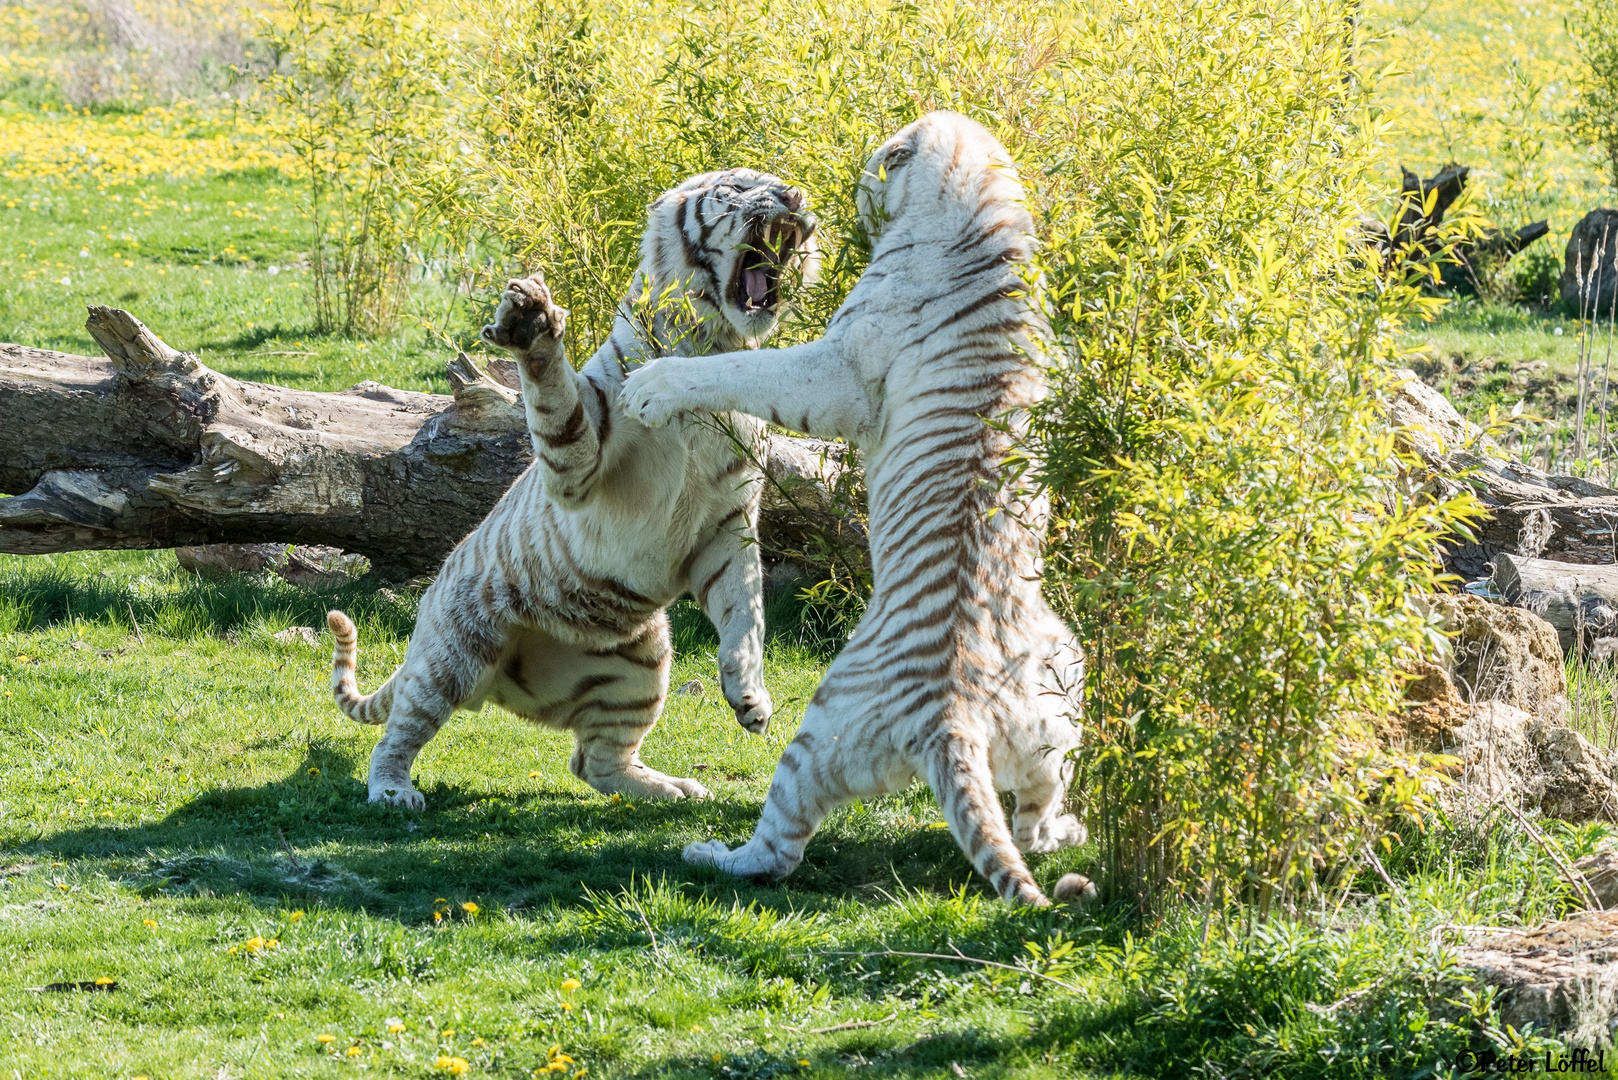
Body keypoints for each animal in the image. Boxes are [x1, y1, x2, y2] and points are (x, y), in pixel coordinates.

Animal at [325, 169, 821, 806]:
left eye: (783, 184)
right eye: (738, 187)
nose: (795, 197)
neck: (712, 347)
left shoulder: (728, 521)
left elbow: (746, 610)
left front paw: (751, 697)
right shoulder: (579, 471)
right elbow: (558, 406)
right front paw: (533, 326)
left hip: (642, 663)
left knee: (593, 762)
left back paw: (673, 788)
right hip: (454, 651)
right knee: (400, 729)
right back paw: (393, 789)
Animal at [624, 111, 1093, 906]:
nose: (812, 193)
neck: (989, 213)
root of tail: (954, 722)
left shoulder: (837, 370)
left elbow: (741, 367)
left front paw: (652, 386)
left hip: (824, 729)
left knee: (776, 847)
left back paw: (712, 853)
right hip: (1062, 691)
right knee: (1030, 821)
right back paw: (1066, 833)